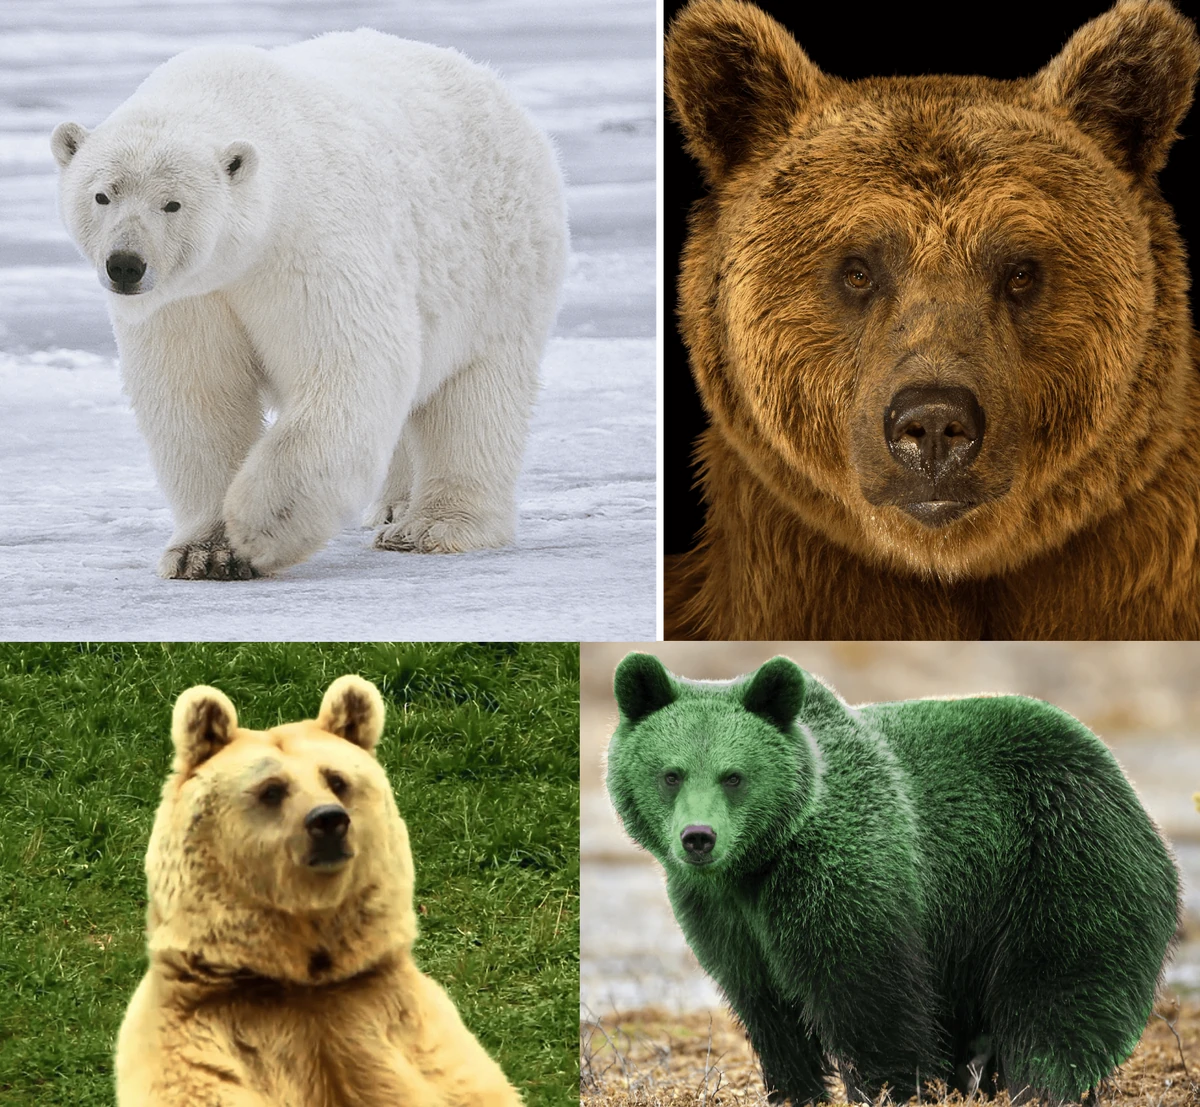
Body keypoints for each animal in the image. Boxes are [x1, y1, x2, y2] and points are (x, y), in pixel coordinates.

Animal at [51, 30, 567, 580]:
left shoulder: (309, 245)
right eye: (102, 195)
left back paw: (432, 526)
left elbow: (349, 366)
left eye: (172, 203)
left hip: (499, 265)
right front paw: (204, 552)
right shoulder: (188, 299)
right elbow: (197, 396)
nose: (125, 265)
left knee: (475, 398)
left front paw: (258, 528)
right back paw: (393, 506)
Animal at [115, 674, 523, 1107]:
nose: (328, 821)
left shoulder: (411, 1036)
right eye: (272, 790)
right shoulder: (200, 1046)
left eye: (337, 780)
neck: (304, 976)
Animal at [605, 652, 1181, 1105]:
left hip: (1062, 857)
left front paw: (892, 1089)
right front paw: (795, 1091)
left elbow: (868, 994)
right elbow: (767, 1009)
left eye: (733, 776)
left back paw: (1042, 1086)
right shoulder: (721, 916)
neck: (756, 866)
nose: (698, 837)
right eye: (671, 773)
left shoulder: (842, 870)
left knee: (1060, 992)